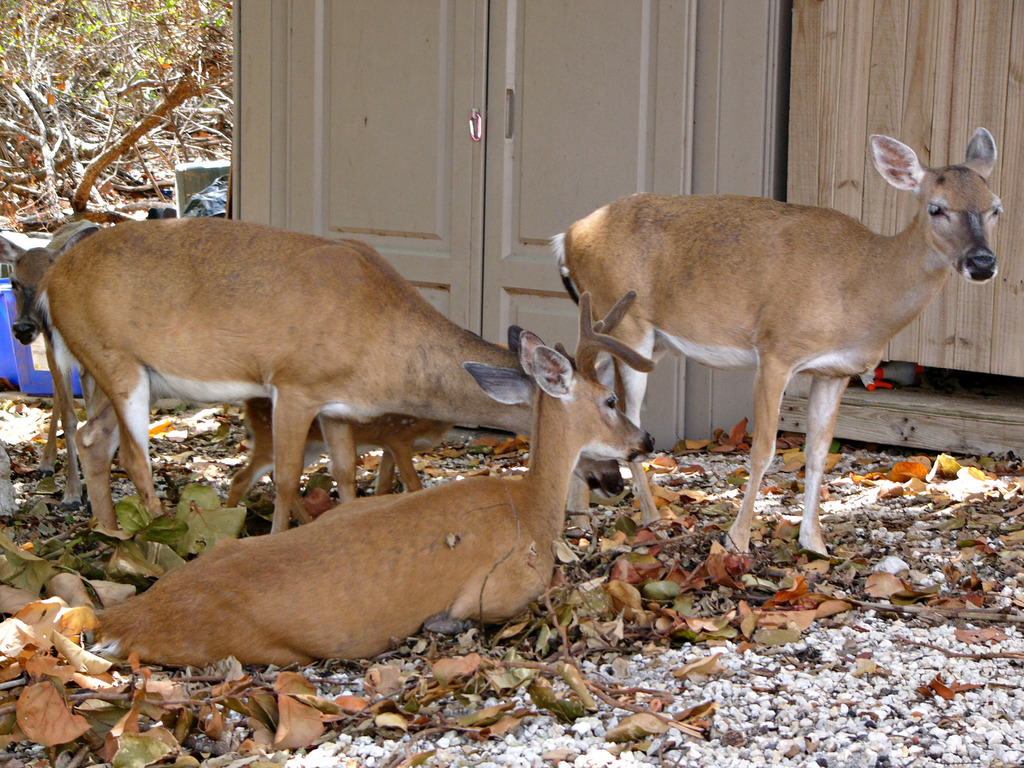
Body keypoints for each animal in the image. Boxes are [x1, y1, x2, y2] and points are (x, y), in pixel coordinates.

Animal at [32, 217, 626, 533]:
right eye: (608, 403)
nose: (615, 481)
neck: (381, 342)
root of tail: (50, 282)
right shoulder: (296, 383)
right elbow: (288, 474)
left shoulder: (340, 406)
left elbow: (344, 476)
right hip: (116, 361)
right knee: (134, 458)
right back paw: (158, 542)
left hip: (124, 375)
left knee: (92, 439)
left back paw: (111, 537)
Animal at [555, 128, 1001, 555]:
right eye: (936, 208)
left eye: (996, 207)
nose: (982, 262)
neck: (862, 287)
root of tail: (567, 236)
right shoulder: (777, 350)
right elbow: (763, 451)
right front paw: (737, 539)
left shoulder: (834, 371)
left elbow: (818, 454)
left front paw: (814, 543)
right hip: (629, 325)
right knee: (628, 413)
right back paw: (649, 519)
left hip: (624, 336)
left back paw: (578, 514)